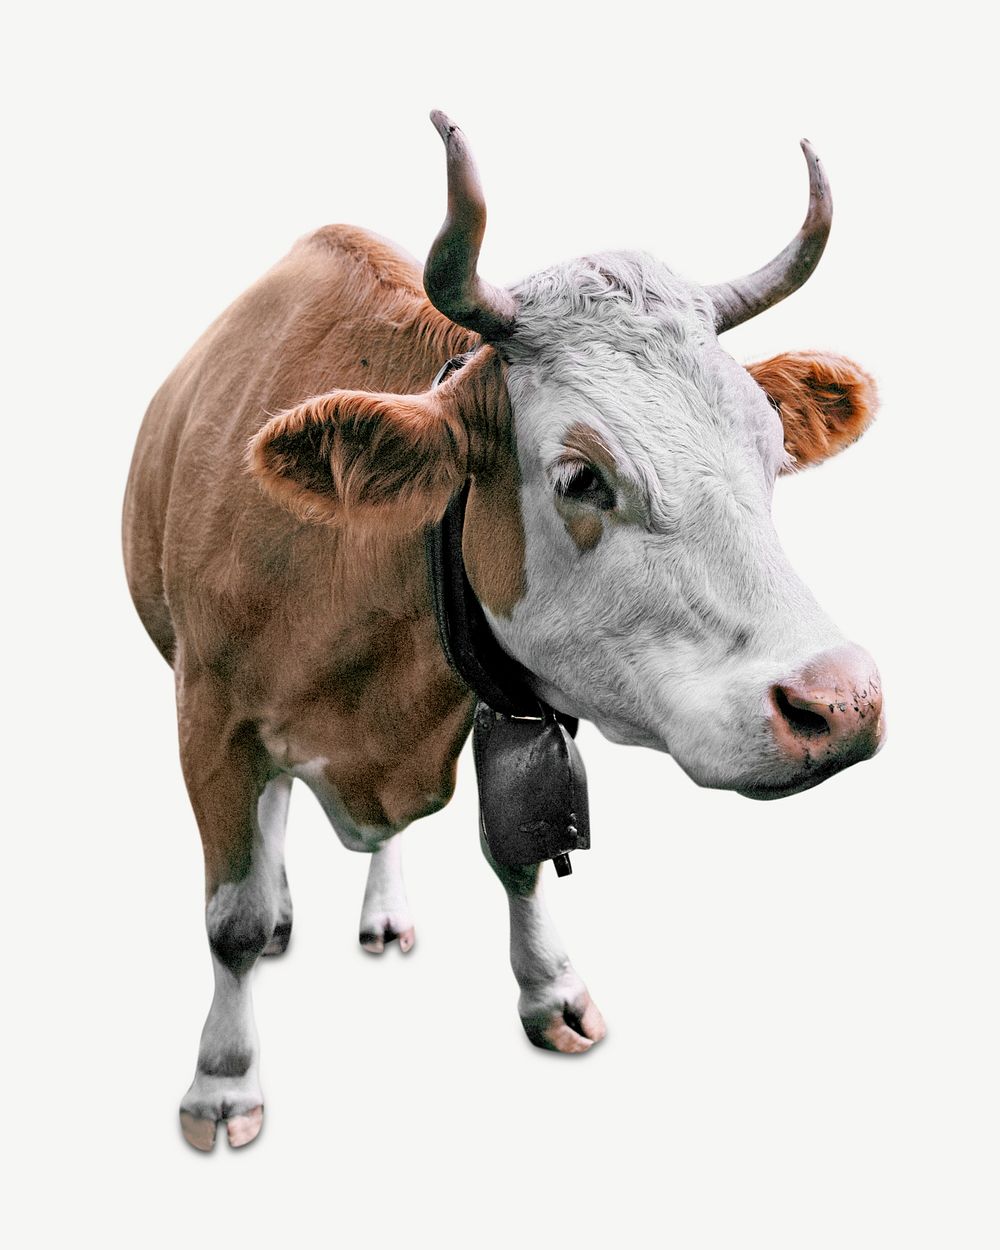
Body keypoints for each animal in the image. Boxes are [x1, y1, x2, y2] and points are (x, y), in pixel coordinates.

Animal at [123, 112, 884, 1151]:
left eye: (772, 452)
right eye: (580, 477)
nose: (840, 703)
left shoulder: (502, 702)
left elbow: (521, 851)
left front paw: (551, 992)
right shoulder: (210, 718)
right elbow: (229, 918)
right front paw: (223, 1079)